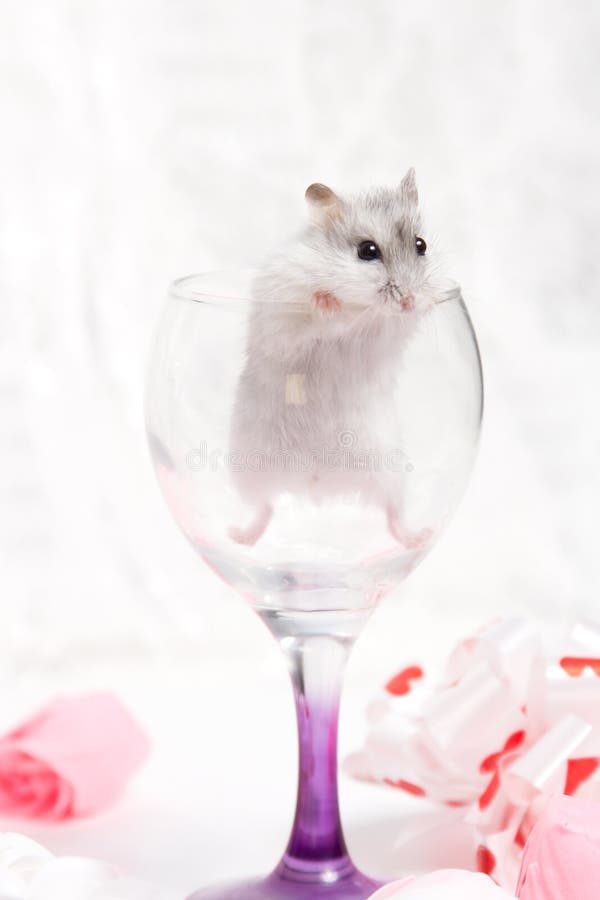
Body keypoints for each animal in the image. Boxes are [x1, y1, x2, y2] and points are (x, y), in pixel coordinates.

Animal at [228, 169, 443, 547]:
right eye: (367, 251)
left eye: (421, 245)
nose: (407, 301)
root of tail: (316, 481)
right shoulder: (283, 306)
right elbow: (308, 318)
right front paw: (326, 301)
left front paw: (428, 298)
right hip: (249, 467)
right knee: (263, 507)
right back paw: (238, 536)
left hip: (387, 467)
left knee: (394, 513)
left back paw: (418, 536)